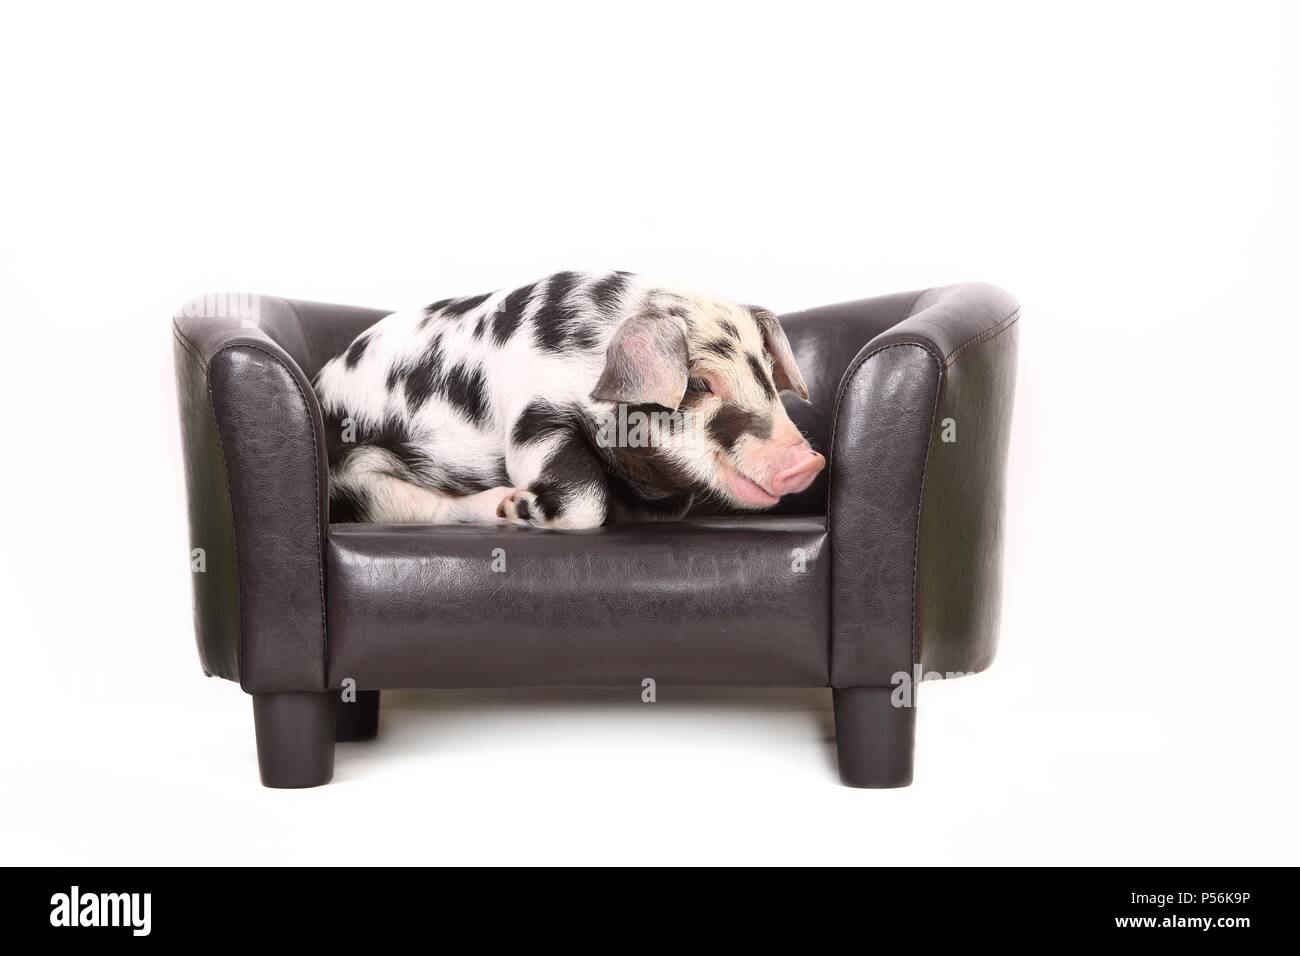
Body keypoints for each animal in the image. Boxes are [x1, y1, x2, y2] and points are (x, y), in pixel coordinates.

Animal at [312, 271, 825, 529]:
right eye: (699, 384)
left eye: (768, 378)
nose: (809, 461)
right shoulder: (532, 419)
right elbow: (581, 497)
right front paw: (524, 508)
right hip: (358, 480)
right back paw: (502, 508)